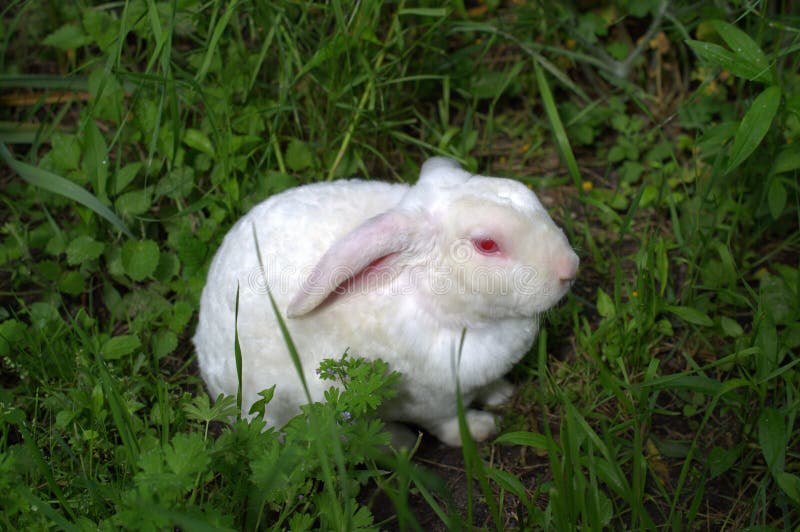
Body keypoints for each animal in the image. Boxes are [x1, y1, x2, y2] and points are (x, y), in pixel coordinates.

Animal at [193, 157, 579, 447]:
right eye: (486, 244)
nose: (570, 267)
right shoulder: (431, 400)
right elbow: (448, 424)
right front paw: (481, 429)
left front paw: (502, 393)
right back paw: (401, 444)